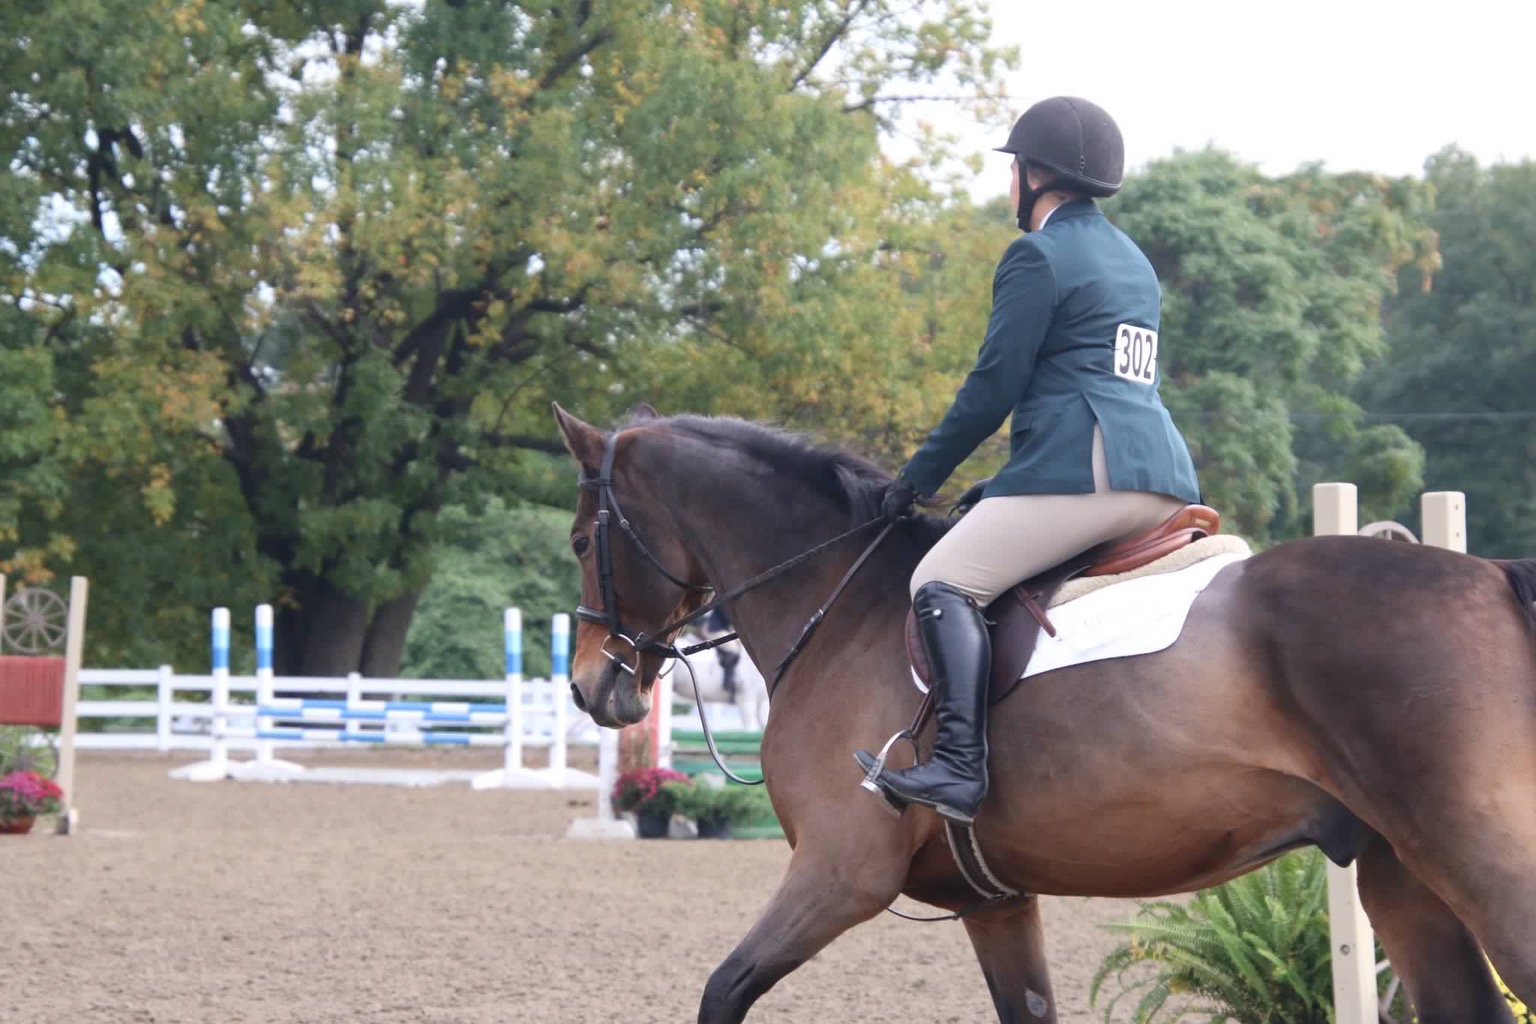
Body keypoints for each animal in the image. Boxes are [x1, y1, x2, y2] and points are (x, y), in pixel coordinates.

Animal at [553, 404, 1536, 1024]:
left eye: (581, 539)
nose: (594, 687)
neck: (842, 599)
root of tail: (1491, 576)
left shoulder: (839, 874)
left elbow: (722, 992)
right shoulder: (994, 903)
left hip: (1481, 863)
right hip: (1400, 875)